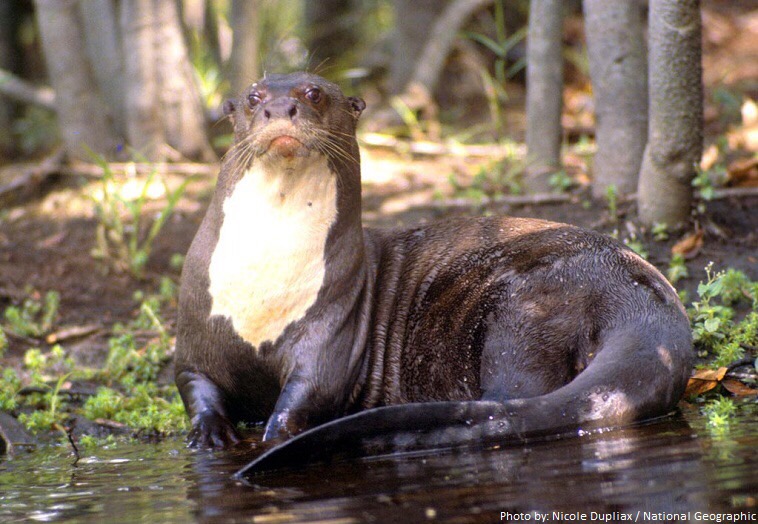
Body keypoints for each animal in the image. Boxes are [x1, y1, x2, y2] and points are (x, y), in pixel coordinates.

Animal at [174, 72, 693, 474]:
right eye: (253, 97)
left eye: (314, 92)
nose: (281, 107)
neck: (263, 289)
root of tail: (644, 306)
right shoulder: (195, 327)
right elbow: (192, 382)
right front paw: (209, 435)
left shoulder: (330, 330)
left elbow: (311, 388)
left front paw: (275, 435)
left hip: (528, 307)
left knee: (511, 395)